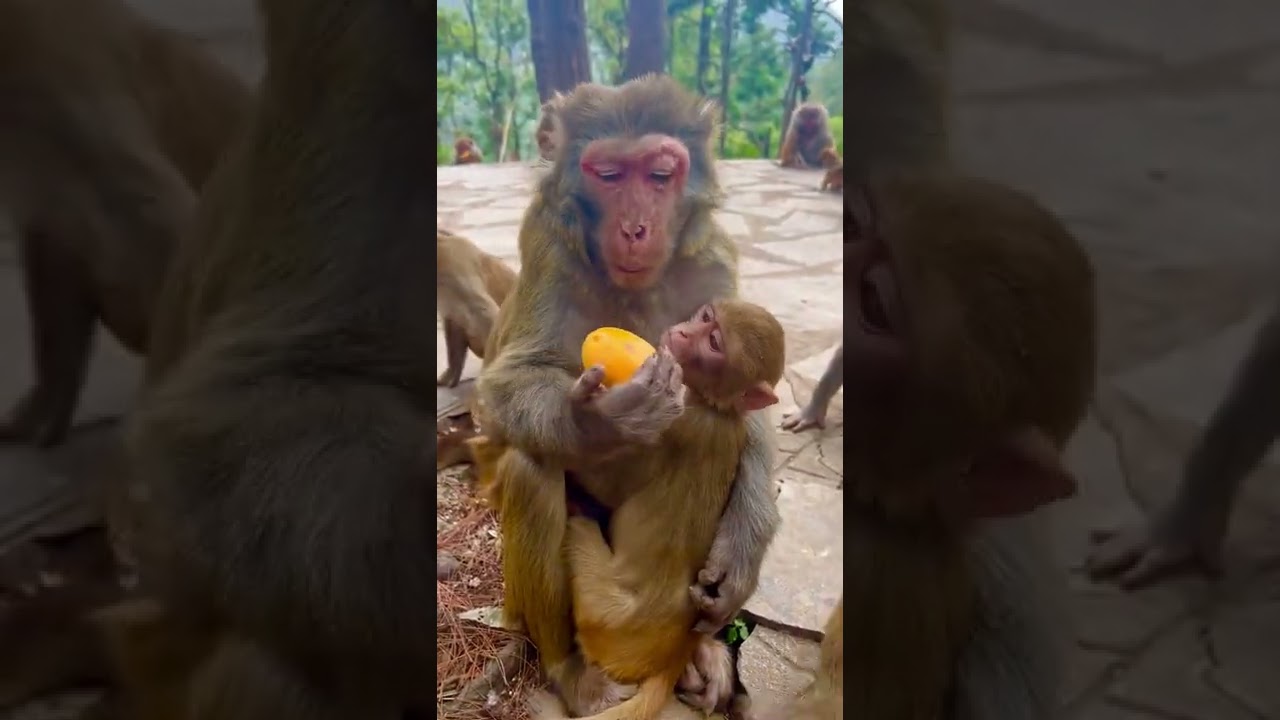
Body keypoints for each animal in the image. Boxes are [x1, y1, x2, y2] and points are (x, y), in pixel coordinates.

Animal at [526, 299, 785, 720]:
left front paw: (589, 414)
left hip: (603, 617)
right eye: (705, 318)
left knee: (579, 528)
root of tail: (669, 656)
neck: (713, 406)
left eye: (714, 342)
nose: (681, 332)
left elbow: (606, 485)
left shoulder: (674, 421)